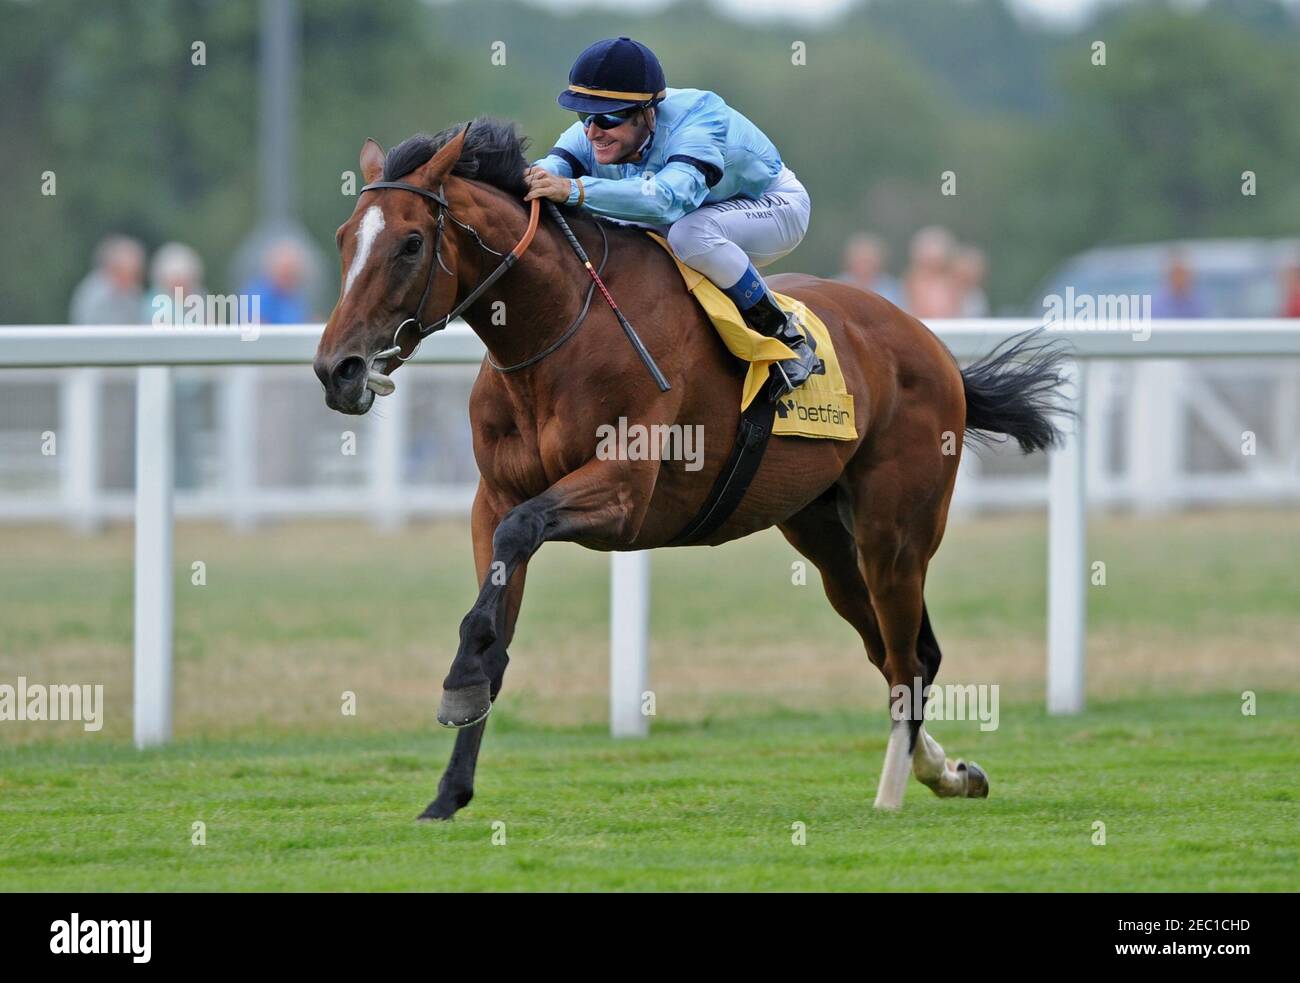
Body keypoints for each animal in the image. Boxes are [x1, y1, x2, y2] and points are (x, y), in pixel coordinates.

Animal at [313, 118, 1067, 819]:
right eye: (346, 239)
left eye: (411, 243)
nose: (336, 369)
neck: (559, 328)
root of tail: (933, 349)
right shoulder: (492, 497)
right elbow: (494, 619)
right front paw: (450, 784)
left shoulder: (623, 494)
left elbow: (520, 535)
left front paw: (457, 689)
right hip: (824, 536)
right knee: (898, 651)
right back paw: (948, 772)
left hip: (896, 533)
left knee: (909, 657)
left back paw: (891, 792)